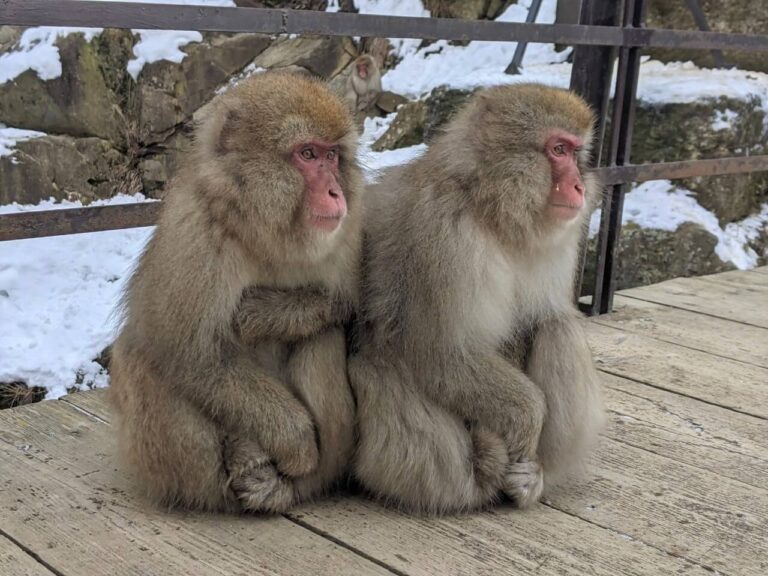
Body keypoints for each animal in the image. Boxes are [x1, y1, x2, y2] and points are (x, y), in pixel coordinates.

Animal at [109, 72, 365, 513]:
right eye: (307, 153)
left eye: (333, 156)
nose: (336, 192)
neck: (261, 229)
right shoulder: (195, 233)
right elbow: (187, 352)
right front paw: (295, 439)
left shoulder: (349, 233)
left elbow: (350, 305)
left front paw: (263, 312)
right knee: (141, 358)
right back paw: (240, 467)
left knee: (323, 335)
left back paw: (289, 486)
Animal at [350, 83, 605, 515]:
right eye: (558, 150)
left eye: (576, 153)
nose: (579, 187)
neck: (491, 209)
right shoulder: (444, 238)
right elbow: (443, 353)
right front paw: (527, 422)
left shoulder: (559, 242)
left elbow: (533, 321)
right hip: (414, 465)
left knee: (557, 326)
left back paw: (535, 476)